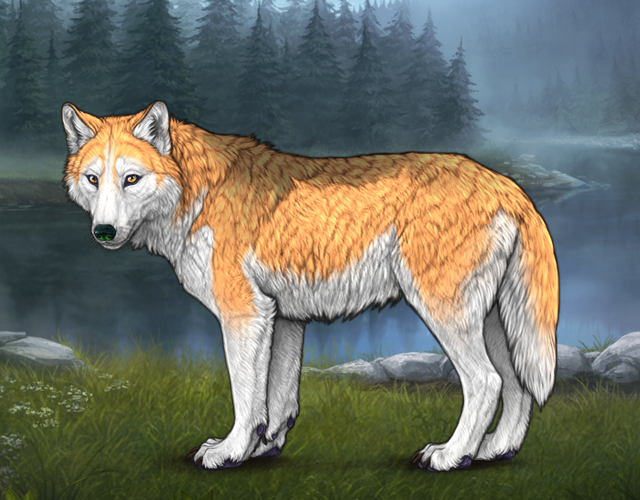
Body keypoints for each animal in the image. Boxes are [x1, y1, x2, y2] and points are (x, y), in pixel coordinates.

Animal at [61, 101, 558, 472]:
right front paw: (262, 450)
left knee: (486, 382)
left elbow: (246, 398)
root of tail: (508, 185)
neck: (198, 194)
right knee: (517, 387)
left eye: (131, 179)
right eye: (93, 180)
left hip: (445, 315)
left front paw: (229, 452)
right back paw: (495, 451)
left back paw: (452, 456)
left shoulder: (245, 315)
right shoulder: (282, 319)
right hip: (493, 325)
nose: (103, 232)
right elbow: (277, 402)